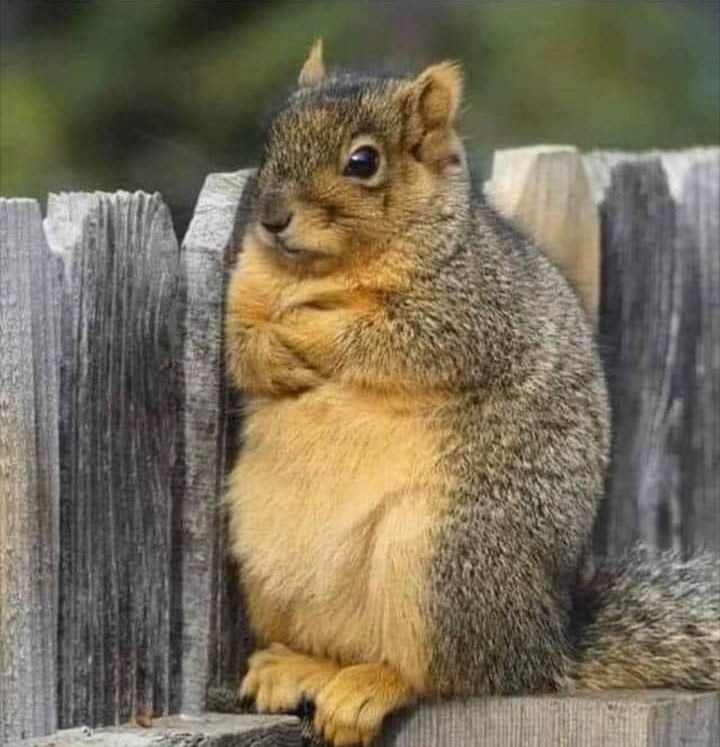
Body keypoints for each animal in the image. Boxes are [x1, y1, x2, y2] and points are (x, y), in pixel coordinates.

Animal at [223, 41, 719, 746]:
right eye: (270, 138)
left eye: (363, 162)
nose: (270, 218)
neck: (321, 272)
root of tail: (545, 649)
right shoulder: (243, 288)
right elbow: (240, 344)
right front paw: (271, 351)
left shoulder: (470, 308)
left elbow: (389, 337)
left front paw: (305, 328)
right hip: (267, 560)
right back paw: (300, 666)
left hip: (442, 562)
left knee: (447, 675)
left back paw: (372, 687)